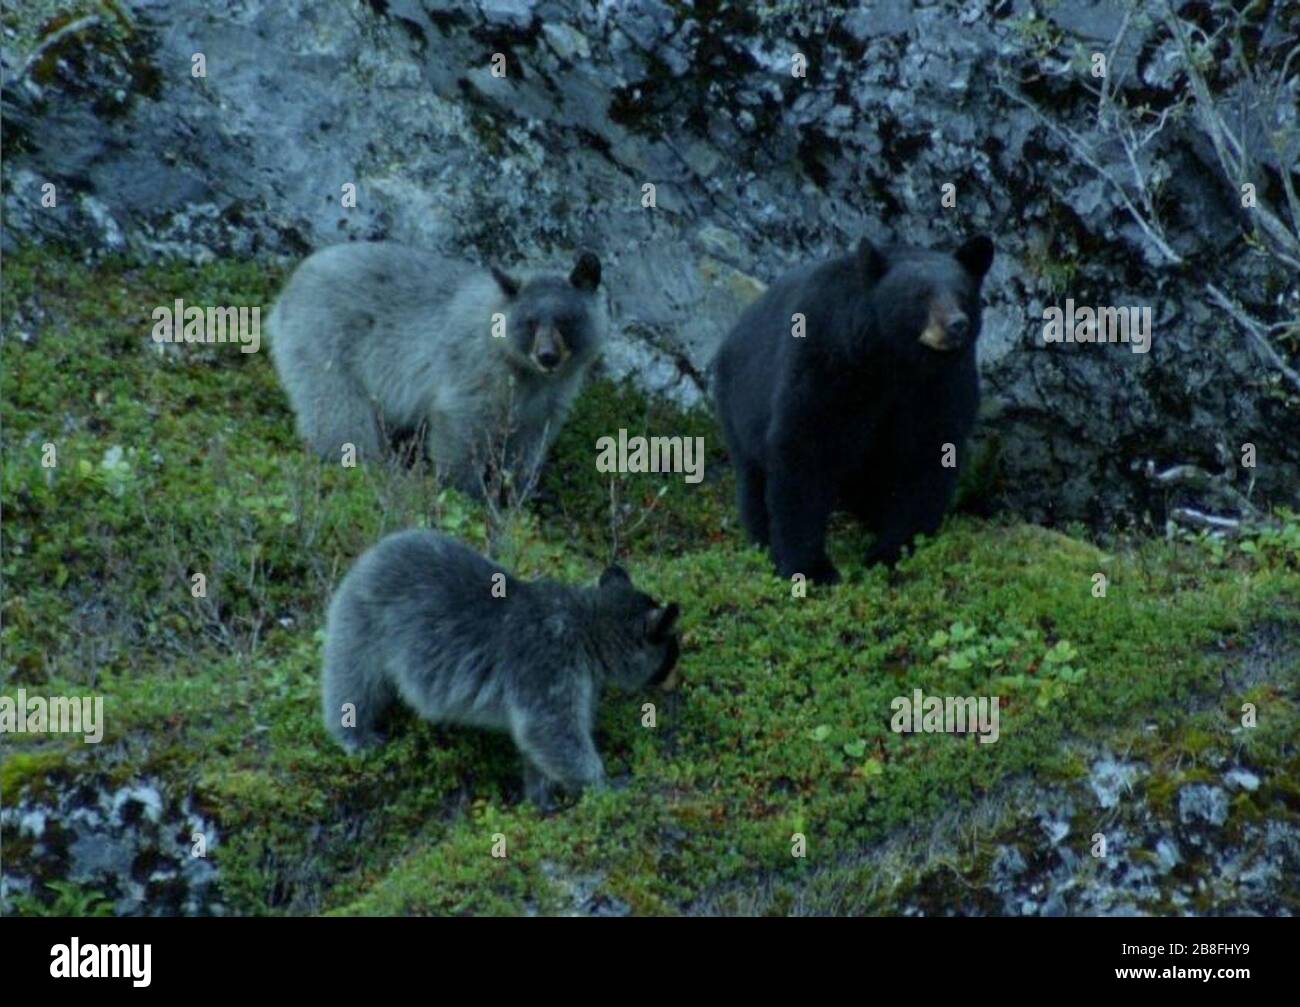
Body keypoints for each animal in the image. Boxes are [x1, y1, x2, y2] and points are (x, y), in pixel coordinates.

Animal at [711, 234, 995, 583]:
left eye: (963, 295)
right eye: (920, 295)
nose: (957, 325)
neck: (894, 359)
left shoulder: (942, 382)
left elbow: (928, 454)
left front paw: (891, 554)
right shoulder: (828, 356)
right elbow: (805, 446)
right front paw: (811, 568)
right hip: (739, 405)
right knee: (753, 479)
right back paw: (762, 545)